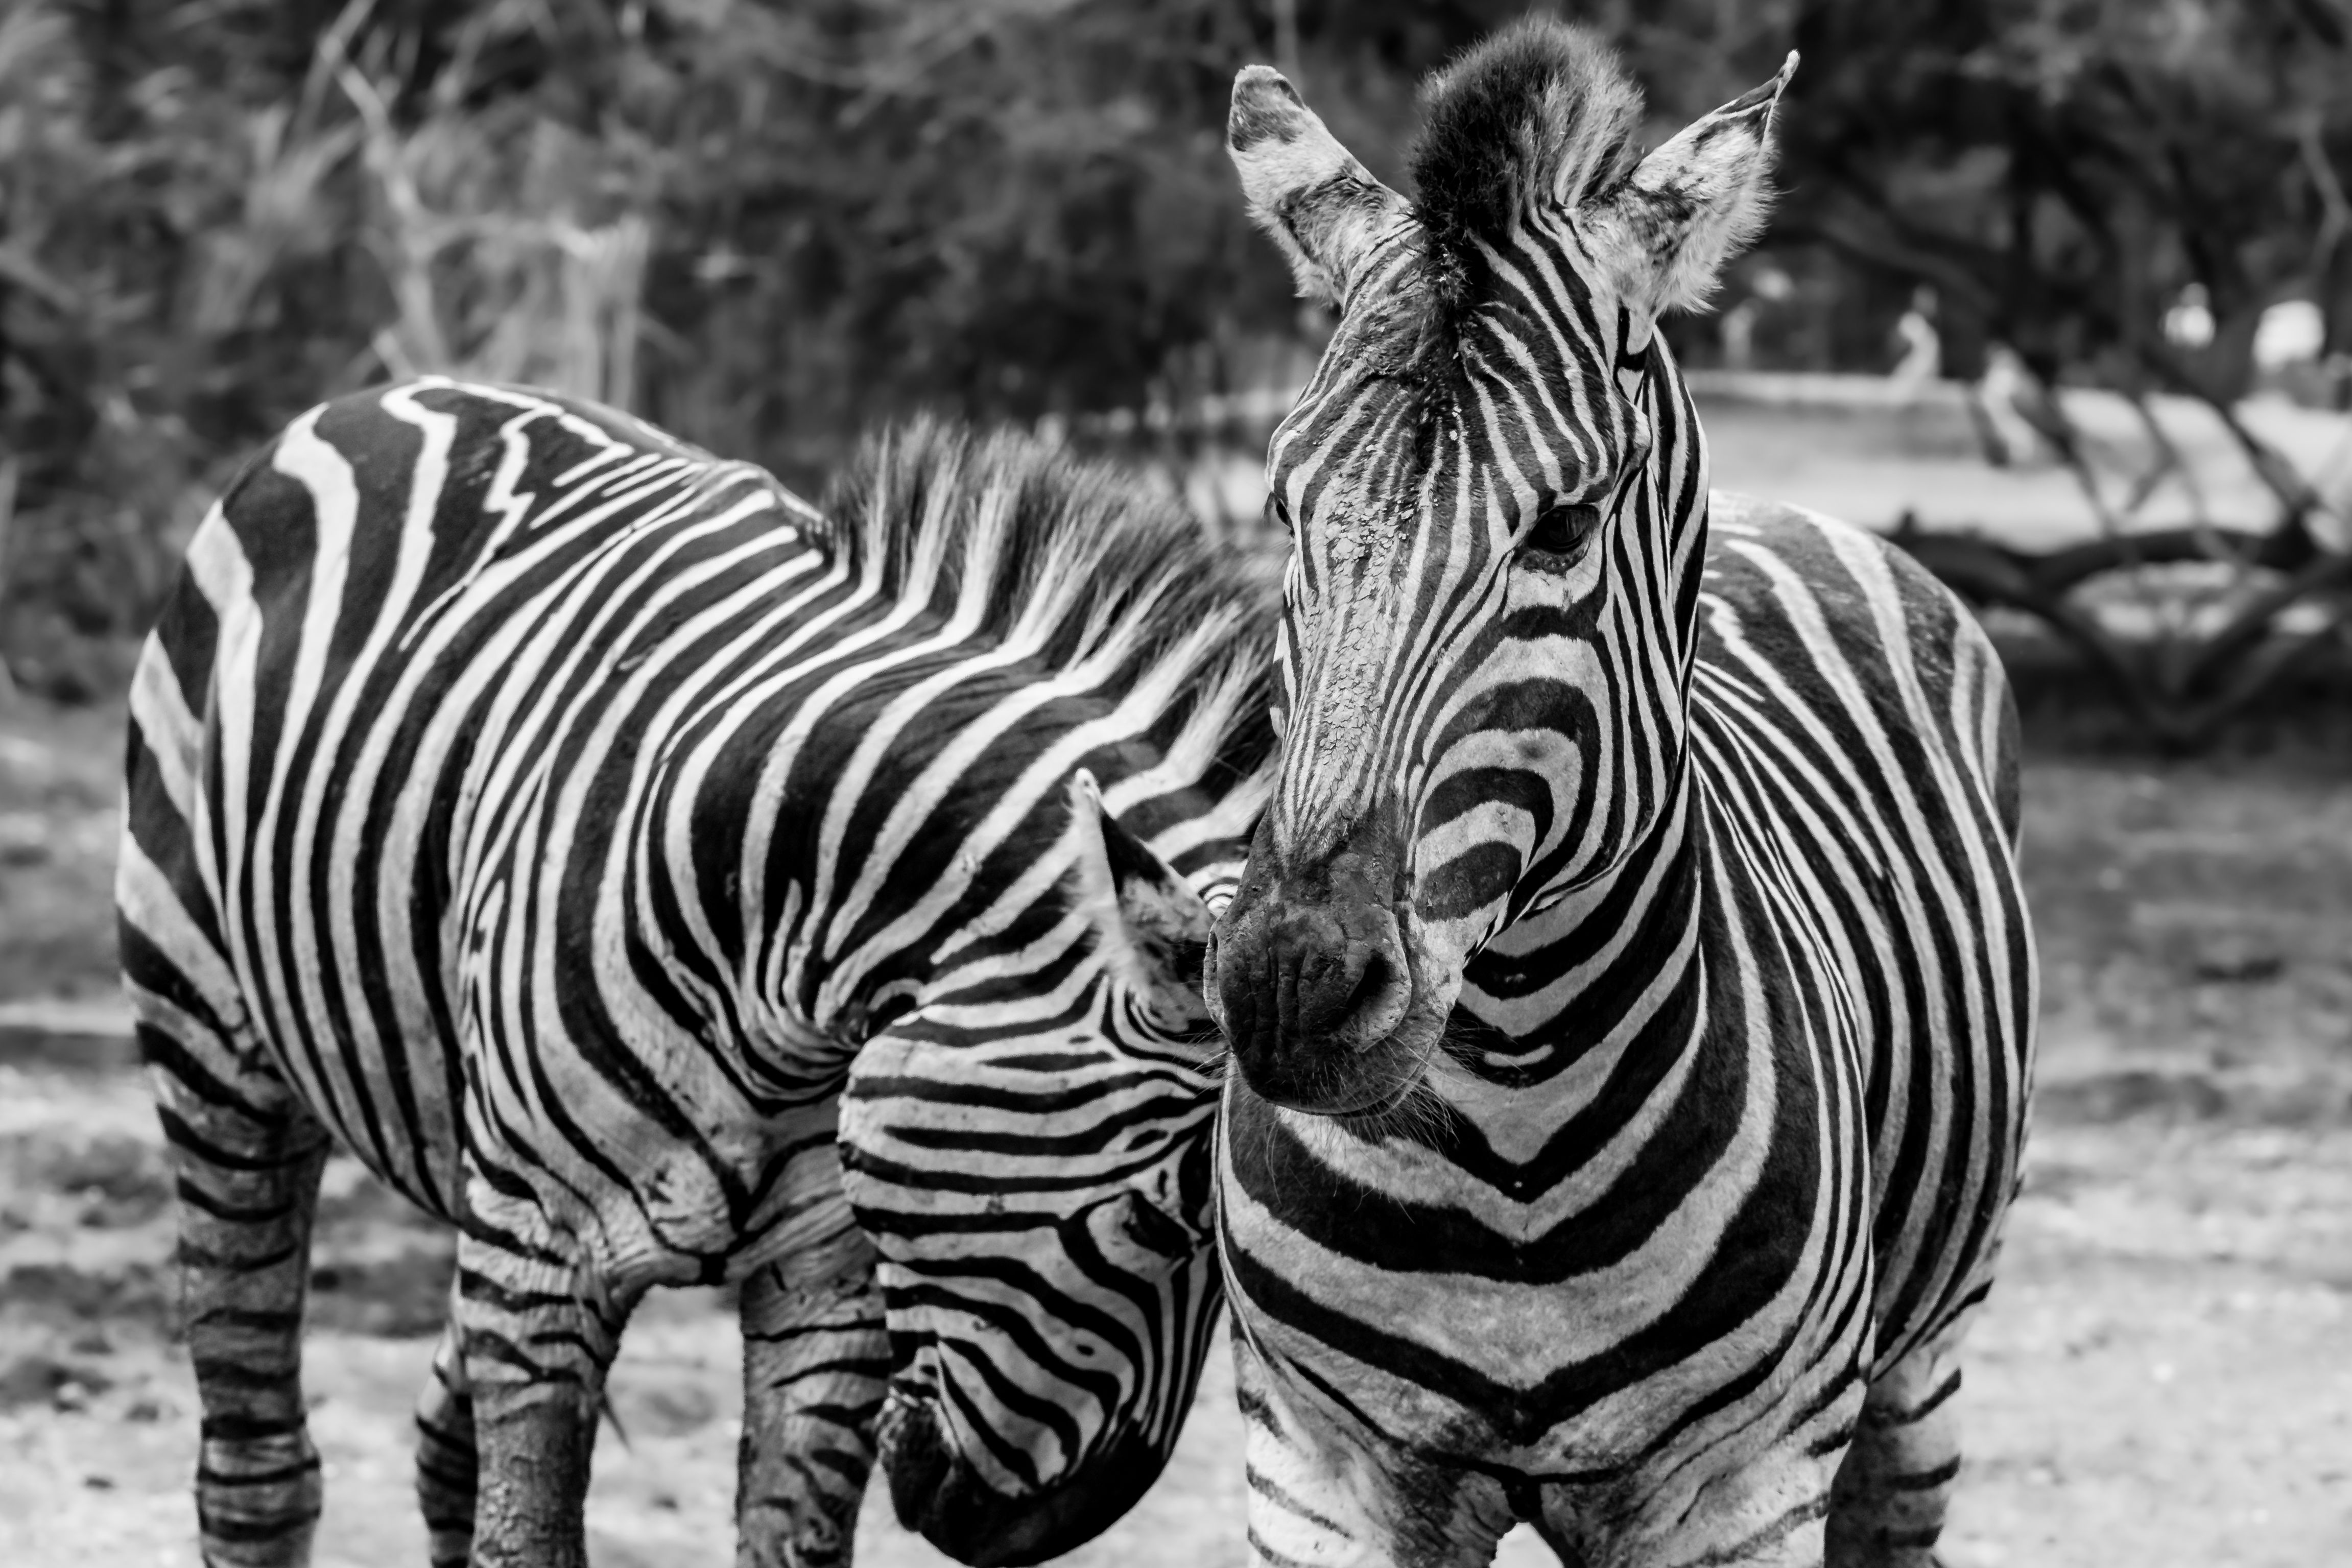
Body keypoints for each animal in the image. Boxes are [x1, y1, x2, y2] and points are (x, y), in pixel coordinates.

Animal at [115, 378, 1274, 1568]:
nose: (1023, 1534)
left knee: (442, 1451)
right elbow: (527, 1534)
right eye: (1162, 1226)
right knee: (258, 1458)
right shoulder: (535, 1267)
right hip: (208, 1033)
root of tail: (399, 394)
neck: (779, 985)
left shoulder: (827, 1285)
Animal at [1204, 21, 2036, 1568]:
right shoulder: (1316, 1460)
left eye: (1564, 523)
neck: (1512, 1125)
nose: (1290, 986)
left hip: (1924, 1357)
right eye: (1281, 511)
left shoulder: (1744, 1483)